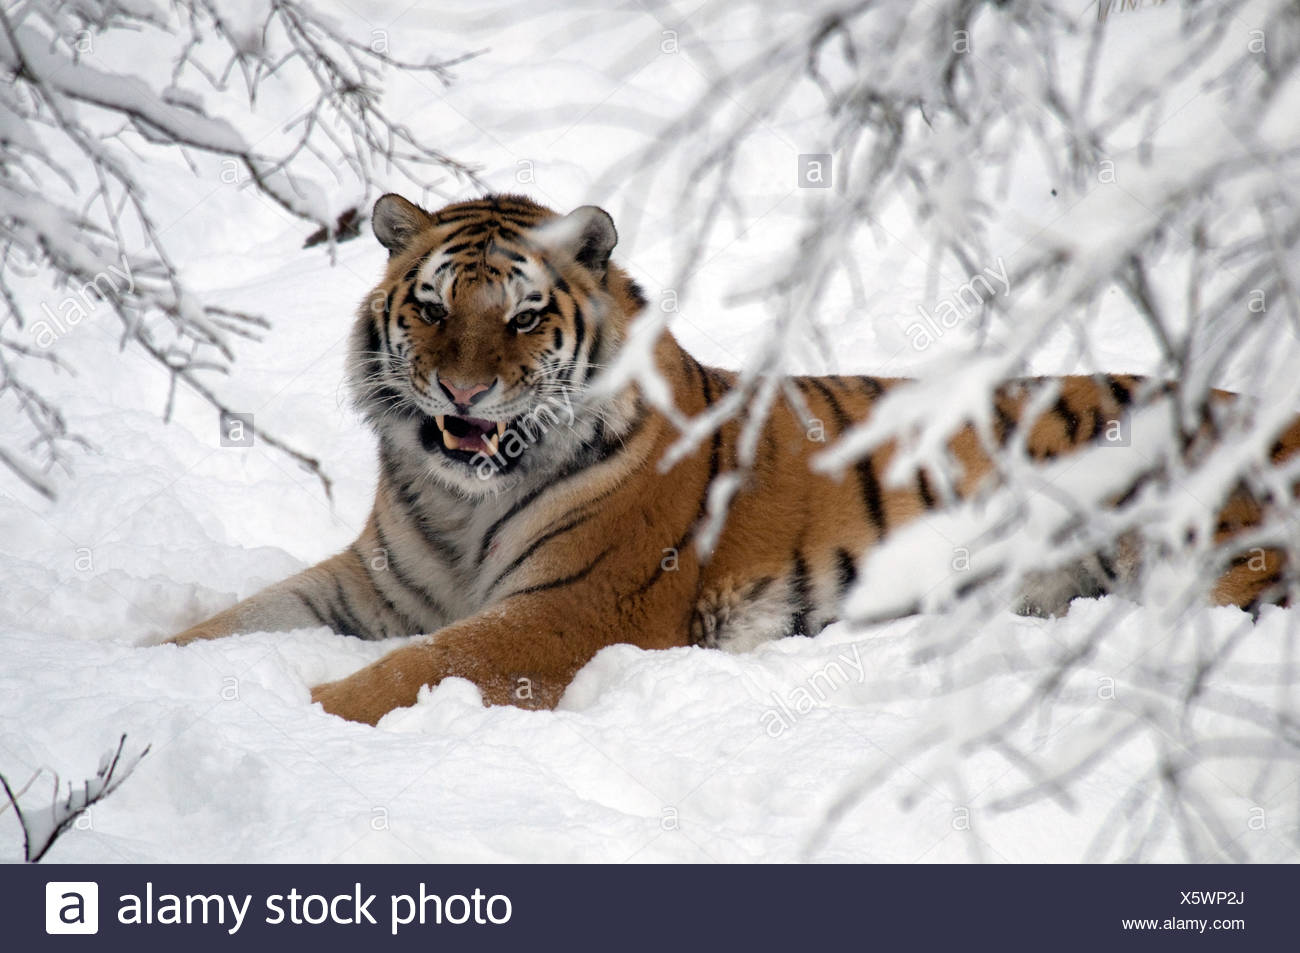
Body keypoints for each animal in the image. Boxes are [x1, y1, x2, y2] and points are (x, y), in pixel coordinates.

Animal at [167, 192, 1300, 725]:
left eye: (525, 314)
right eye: (435, 306)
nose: (463, 395)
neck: (456, 495)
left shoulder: (569, 609)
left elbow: (416, 667)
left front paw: (304, 716)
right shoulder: (374, 584)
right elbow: (229, 622)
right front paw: (139, 671)